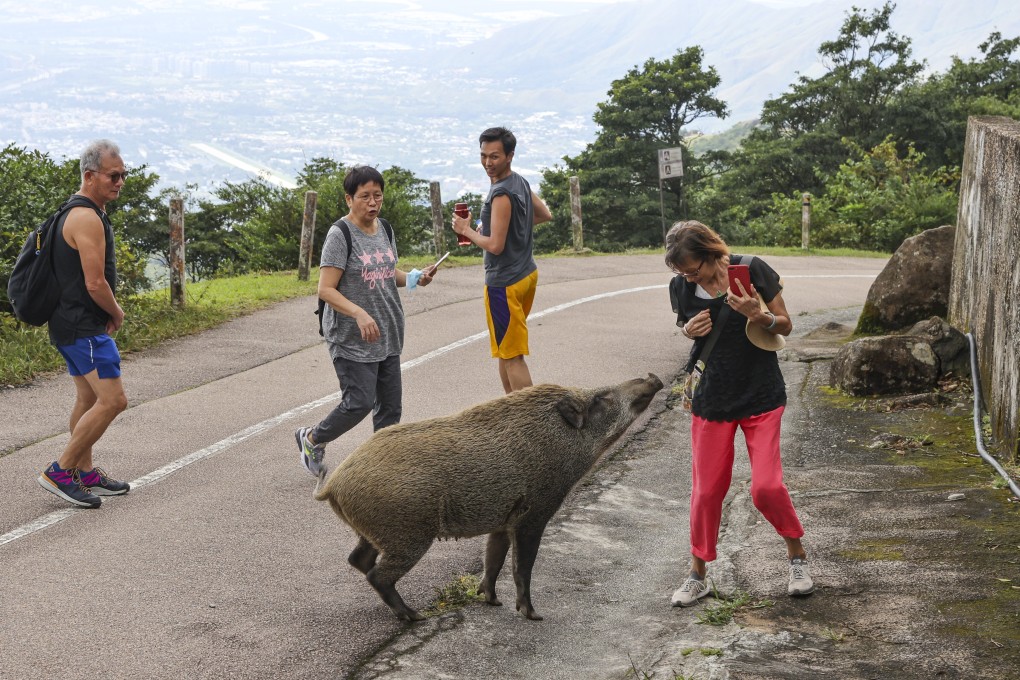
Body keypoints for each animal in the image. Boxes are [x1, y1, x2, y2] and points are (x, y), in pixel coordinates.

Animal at [313, 373, 664, 622]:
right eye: (601, 398)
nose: (653, 377)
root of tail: (334, 485)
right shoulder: (535, 512)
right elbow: (522, 564)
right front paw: (533, 615)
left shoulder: (503, 520)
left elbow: (493, 559)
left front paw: (493, 601)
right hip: (407, 534)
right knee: (377, 574)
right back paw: (415, 616)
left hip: (375, 532)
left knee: (358, 559)